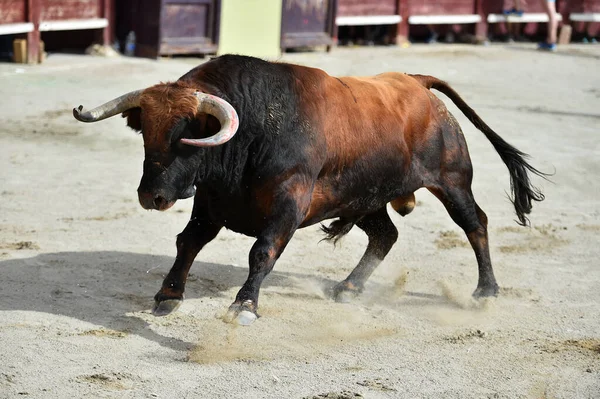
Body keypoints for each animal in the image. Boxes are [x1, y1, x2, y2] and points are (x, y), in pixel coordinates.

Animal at [72, 54, 548, 326]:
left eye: (186, 137)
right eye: (147, 135)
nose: (151, 196)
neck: (254, 126)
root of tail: (416, 82)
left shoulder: (289, 202)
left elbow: (262, 251)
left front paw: (245, 306)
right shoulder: (211, 201)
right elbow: (187, 242)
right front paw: (168, 296)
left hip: (452, 180)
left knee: (475, 223)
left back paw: (485, 292)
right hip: (365, 196)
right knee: (385, 235)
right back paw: (349, 287)